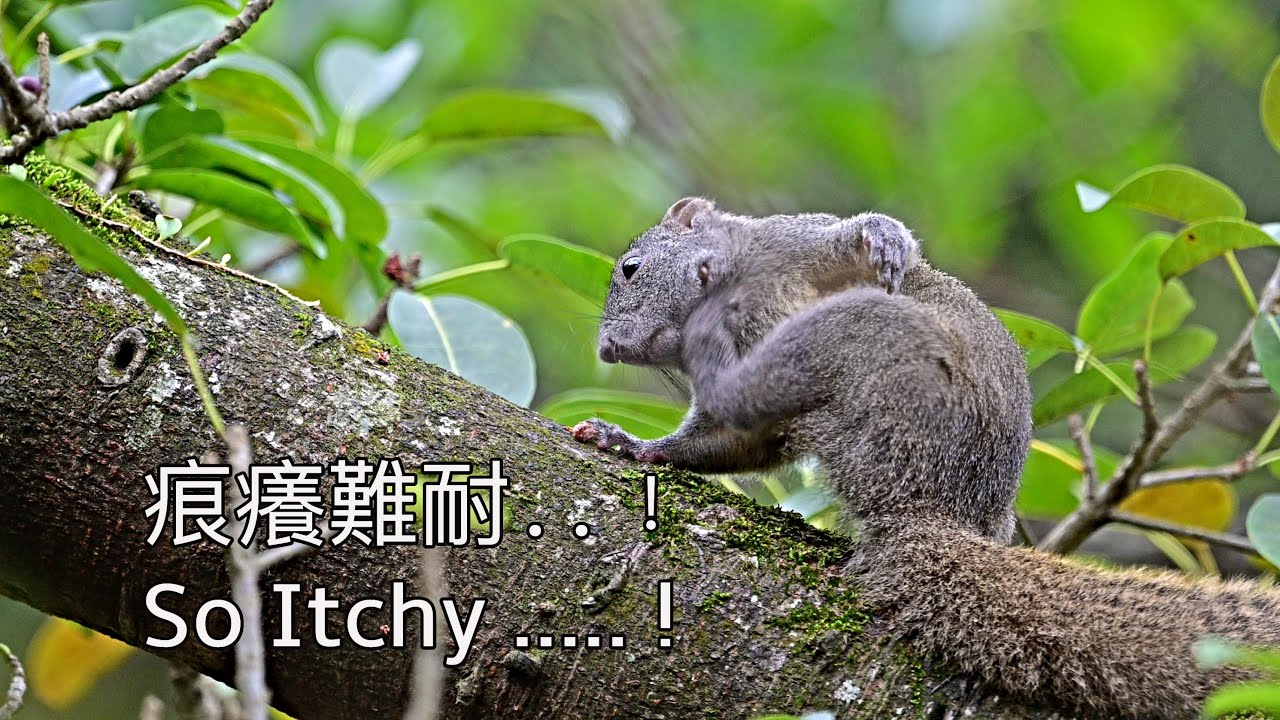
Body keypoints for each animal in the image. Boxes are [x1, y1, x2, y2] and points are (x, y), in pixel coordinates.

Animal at [572, 197, 1280, 720]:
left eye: (630, 268)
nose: (606, 349)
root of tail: (933, 504)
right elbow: (732, 441)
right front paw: (632, 443)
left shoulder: (792, 244)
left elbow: (852, 242)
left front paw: (883, 240)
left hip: (862, 339)